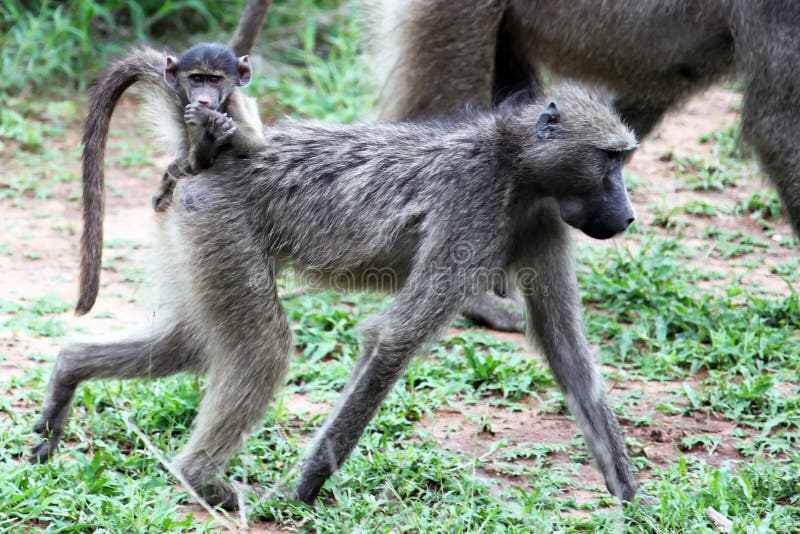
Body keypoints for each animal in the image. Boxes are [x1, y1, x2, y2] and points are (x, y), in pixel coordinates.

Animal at [32, 84, 641, 508]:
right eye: (610, 160)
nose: (628, 215)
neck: (514, 164)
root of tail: (212, 155)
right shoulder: (475, 203)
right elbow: (394, 340)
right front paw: (303, 492)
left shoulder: (544, 221)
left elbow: (567, 351)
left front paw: (630, 497)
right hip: (220, 224)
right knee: (262, 348)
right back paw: (200, 478)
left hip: (193, 231)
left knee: (187, 344)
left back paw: (68, 374)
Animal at [76, 43, 264, 315]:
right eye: (197, 79)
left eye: (214, 80)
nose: (203, 99)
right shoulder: (188, 117)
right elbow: (198, 163)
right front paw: (209, 125)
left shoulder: (235, 101)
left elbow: (255, 142)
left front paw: (211, 120)